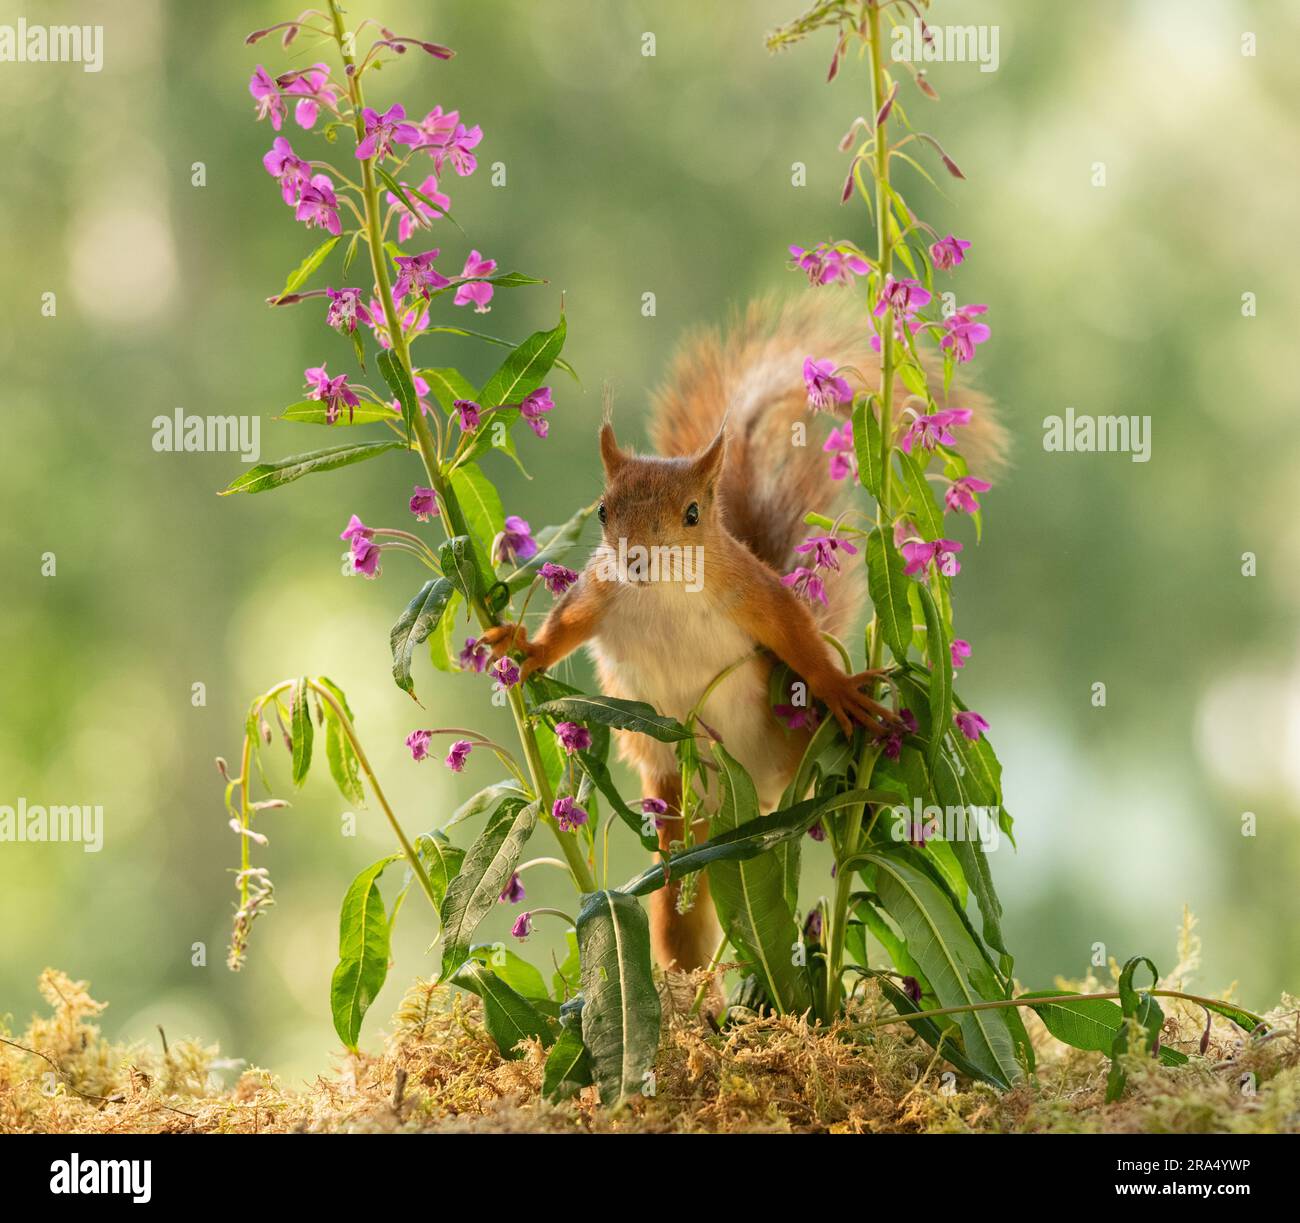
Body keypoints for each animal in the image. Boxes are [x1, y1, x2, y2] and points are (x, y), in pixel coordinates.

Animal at [483, 294, 1005, 972]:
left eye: (693, 514)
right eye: (602, 510)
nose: (635, 559)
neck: (664, 595)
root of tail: (730, 797)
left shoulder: (750, 592)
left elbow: (793, 631)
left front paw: (838, 687)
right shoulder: (600, 594)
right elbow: (565, 626)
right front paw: (523, 648)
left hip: (791, 737)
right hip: (667, 780)